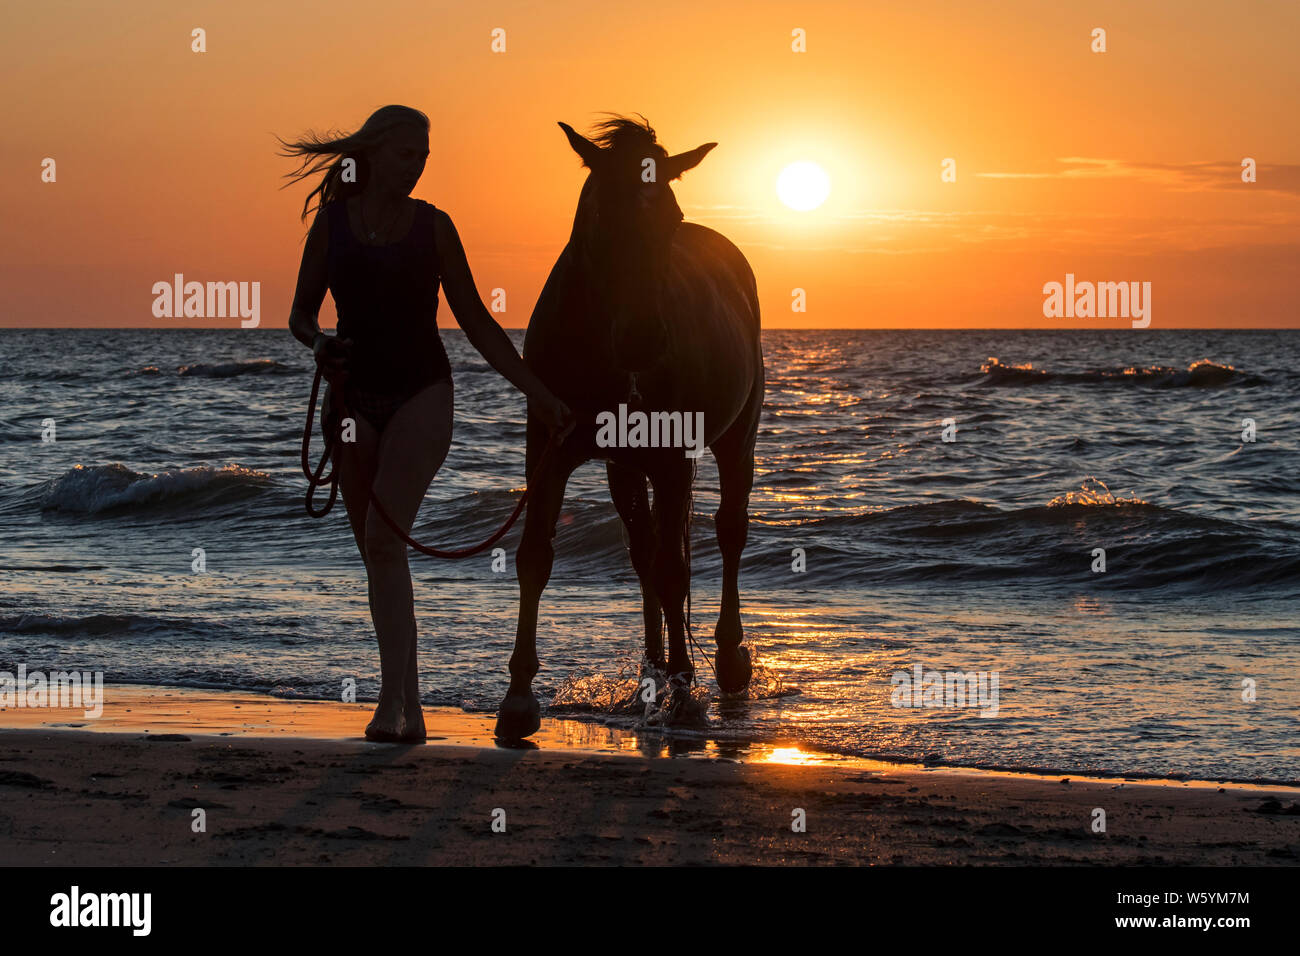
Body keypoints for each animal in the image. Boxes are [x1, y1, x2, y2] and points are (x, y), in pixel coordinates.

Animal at [495, 115, 764, 740]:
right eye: (600, 214)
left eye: (672, 217)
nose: (643, 338)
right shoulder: (548, 448)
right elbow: (534, 557)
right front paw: (518, 696)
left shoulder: (671, 459)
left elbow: (675, 570)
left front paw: (687, 693)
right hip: (624, 465)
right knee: (644, 549)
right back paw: (652, 667)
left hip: (736, 438)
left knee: (725, 533)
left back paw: (724, 660)